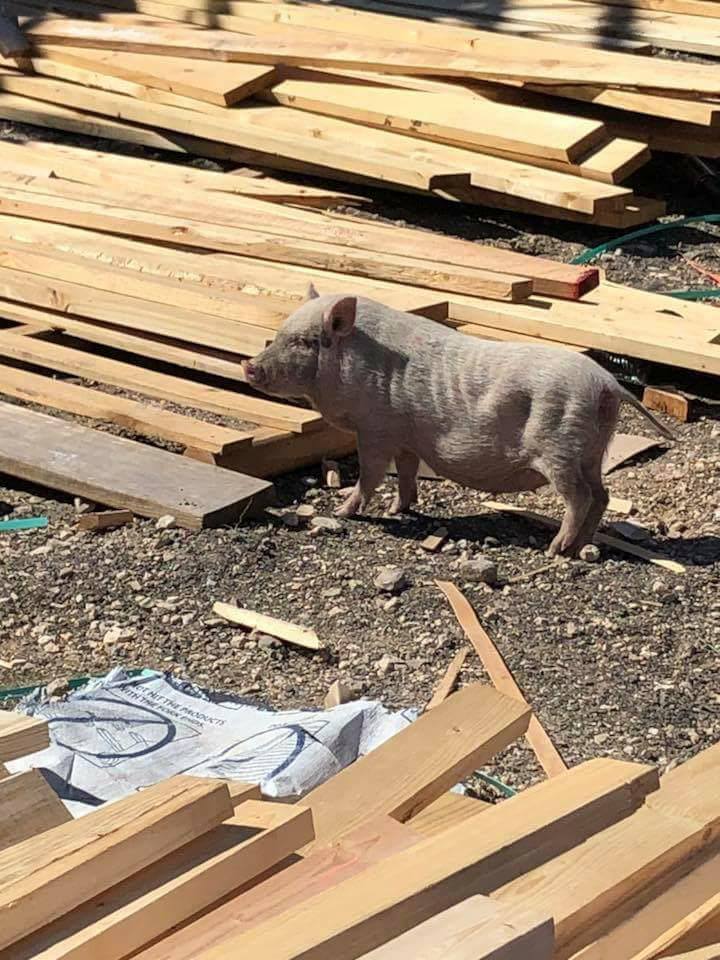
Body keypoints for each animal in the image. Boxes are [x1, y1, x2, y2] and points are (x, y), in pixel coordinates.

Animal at [244, 286, 674, 556]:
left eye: (304, 342)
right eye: (280, 333)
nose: (249, 365)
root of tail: (606, 384)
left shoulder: (375, 430)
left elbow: (370, 476)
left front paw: (342, 511)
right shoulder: (404, 437)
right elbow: (406, 472)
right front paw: (398, 509)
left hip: (561, 450)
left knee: (580, 498)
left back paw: (555, 549)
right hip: (593, 451)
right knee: (601, 495)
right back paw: (580, 546)